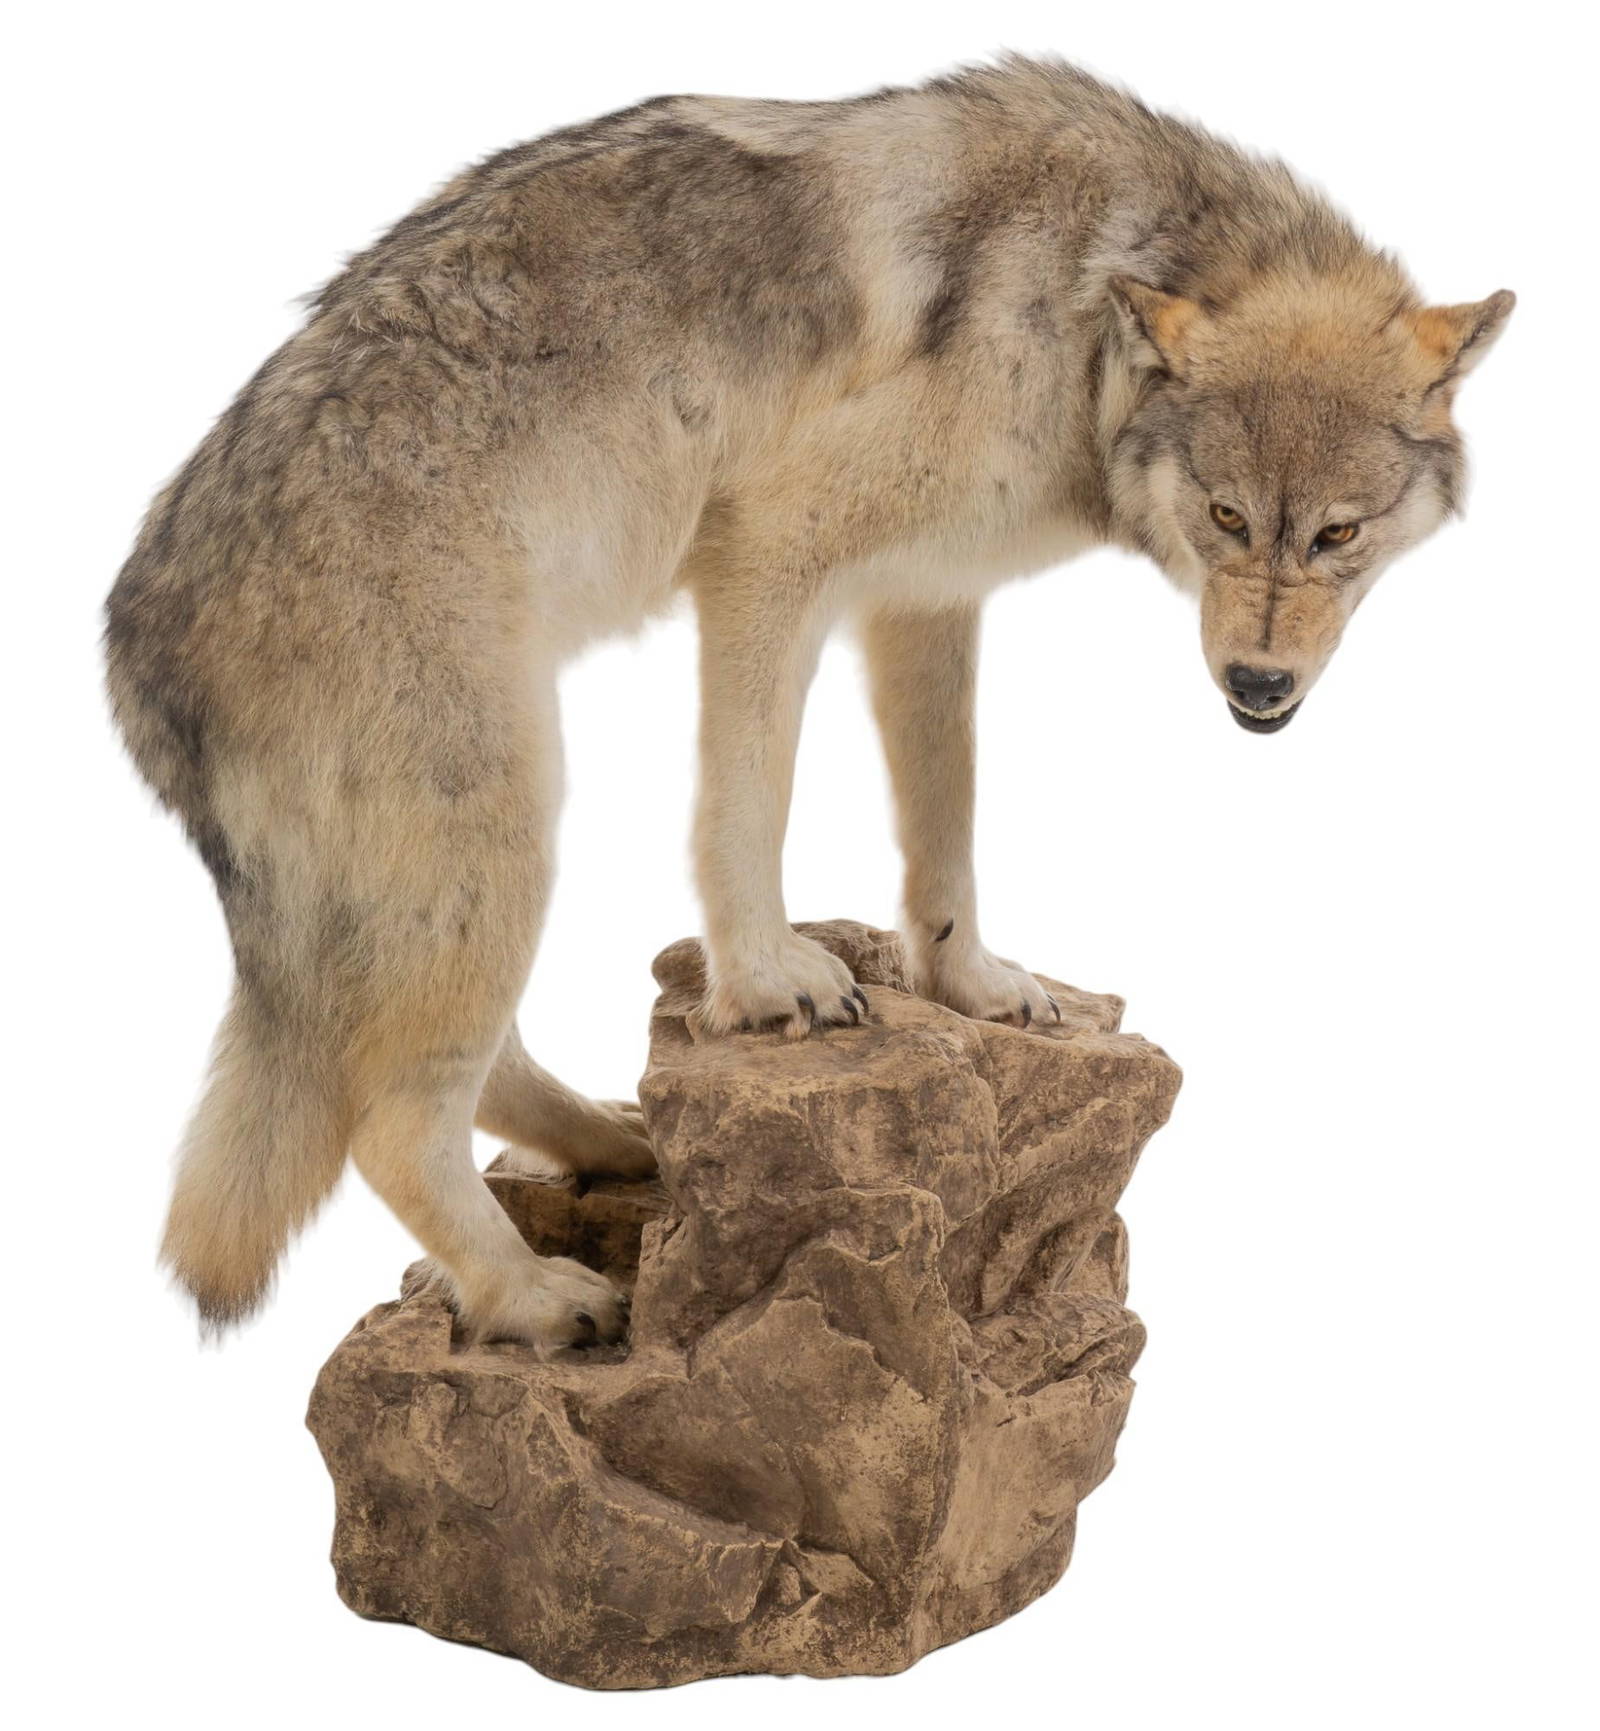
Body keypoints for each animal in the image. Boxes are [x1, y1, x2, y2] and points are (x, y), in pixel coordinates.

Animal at [105, 57, 1513, 1353]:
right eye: (1227, 518)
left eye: (1335, 535)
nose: (1258, 687)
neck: (1084, 313)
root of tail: (130, 650)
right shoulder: (771, 546)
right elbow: (746, 807)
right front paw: (768, 985)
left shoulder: (927, 596)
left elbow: (945, 832)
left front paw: (970, 988)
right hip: (503, 831)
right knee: (390, 1120)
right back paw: (533, 1298)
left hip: (454, 874)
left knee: (435, 1066)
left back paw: (611, 1145)